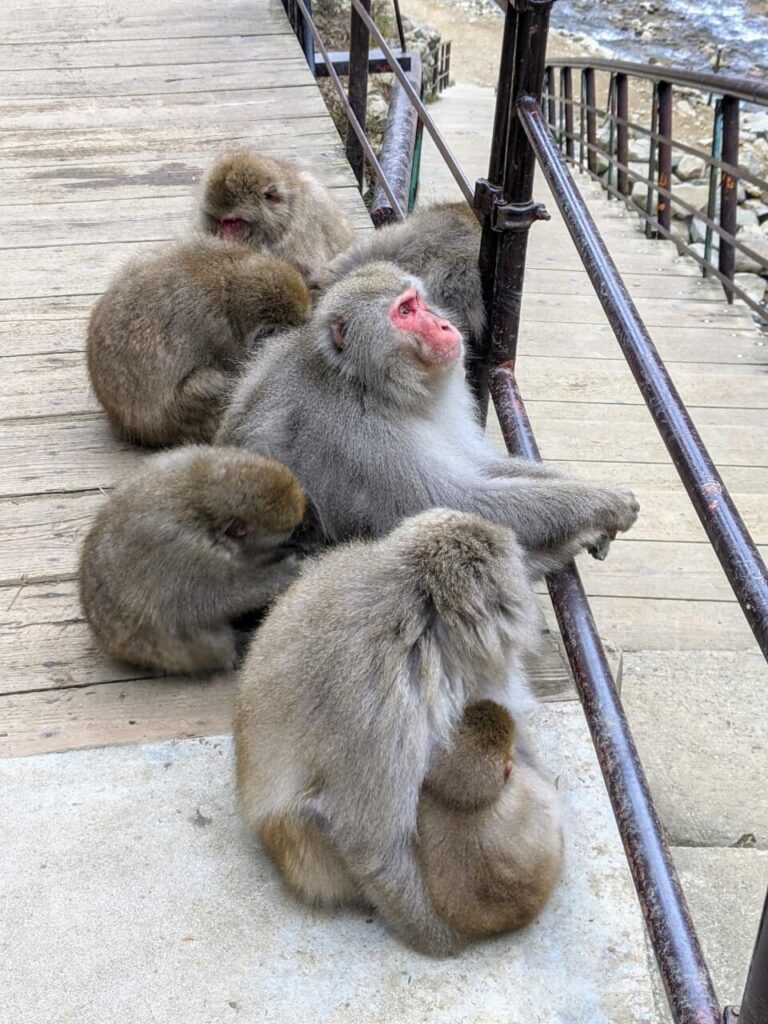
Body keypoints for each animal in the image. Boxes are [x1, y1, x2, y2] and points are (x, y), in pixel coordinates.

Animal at [79, 445, 312, 674]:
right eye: (289, 531)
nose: (298, 534)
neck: (201, 499)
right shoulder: (182, 552)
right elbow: (215, 597)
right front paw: (285, 571)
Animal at [217, 261, 639, 575]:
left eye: (418, 301)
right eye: (404, 312)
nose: (443, 324)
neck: (370, 384)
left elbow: (478, 466)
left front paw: (585, 489)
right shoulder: (355, 434)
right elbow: (450, 502)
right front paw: (603, 503)